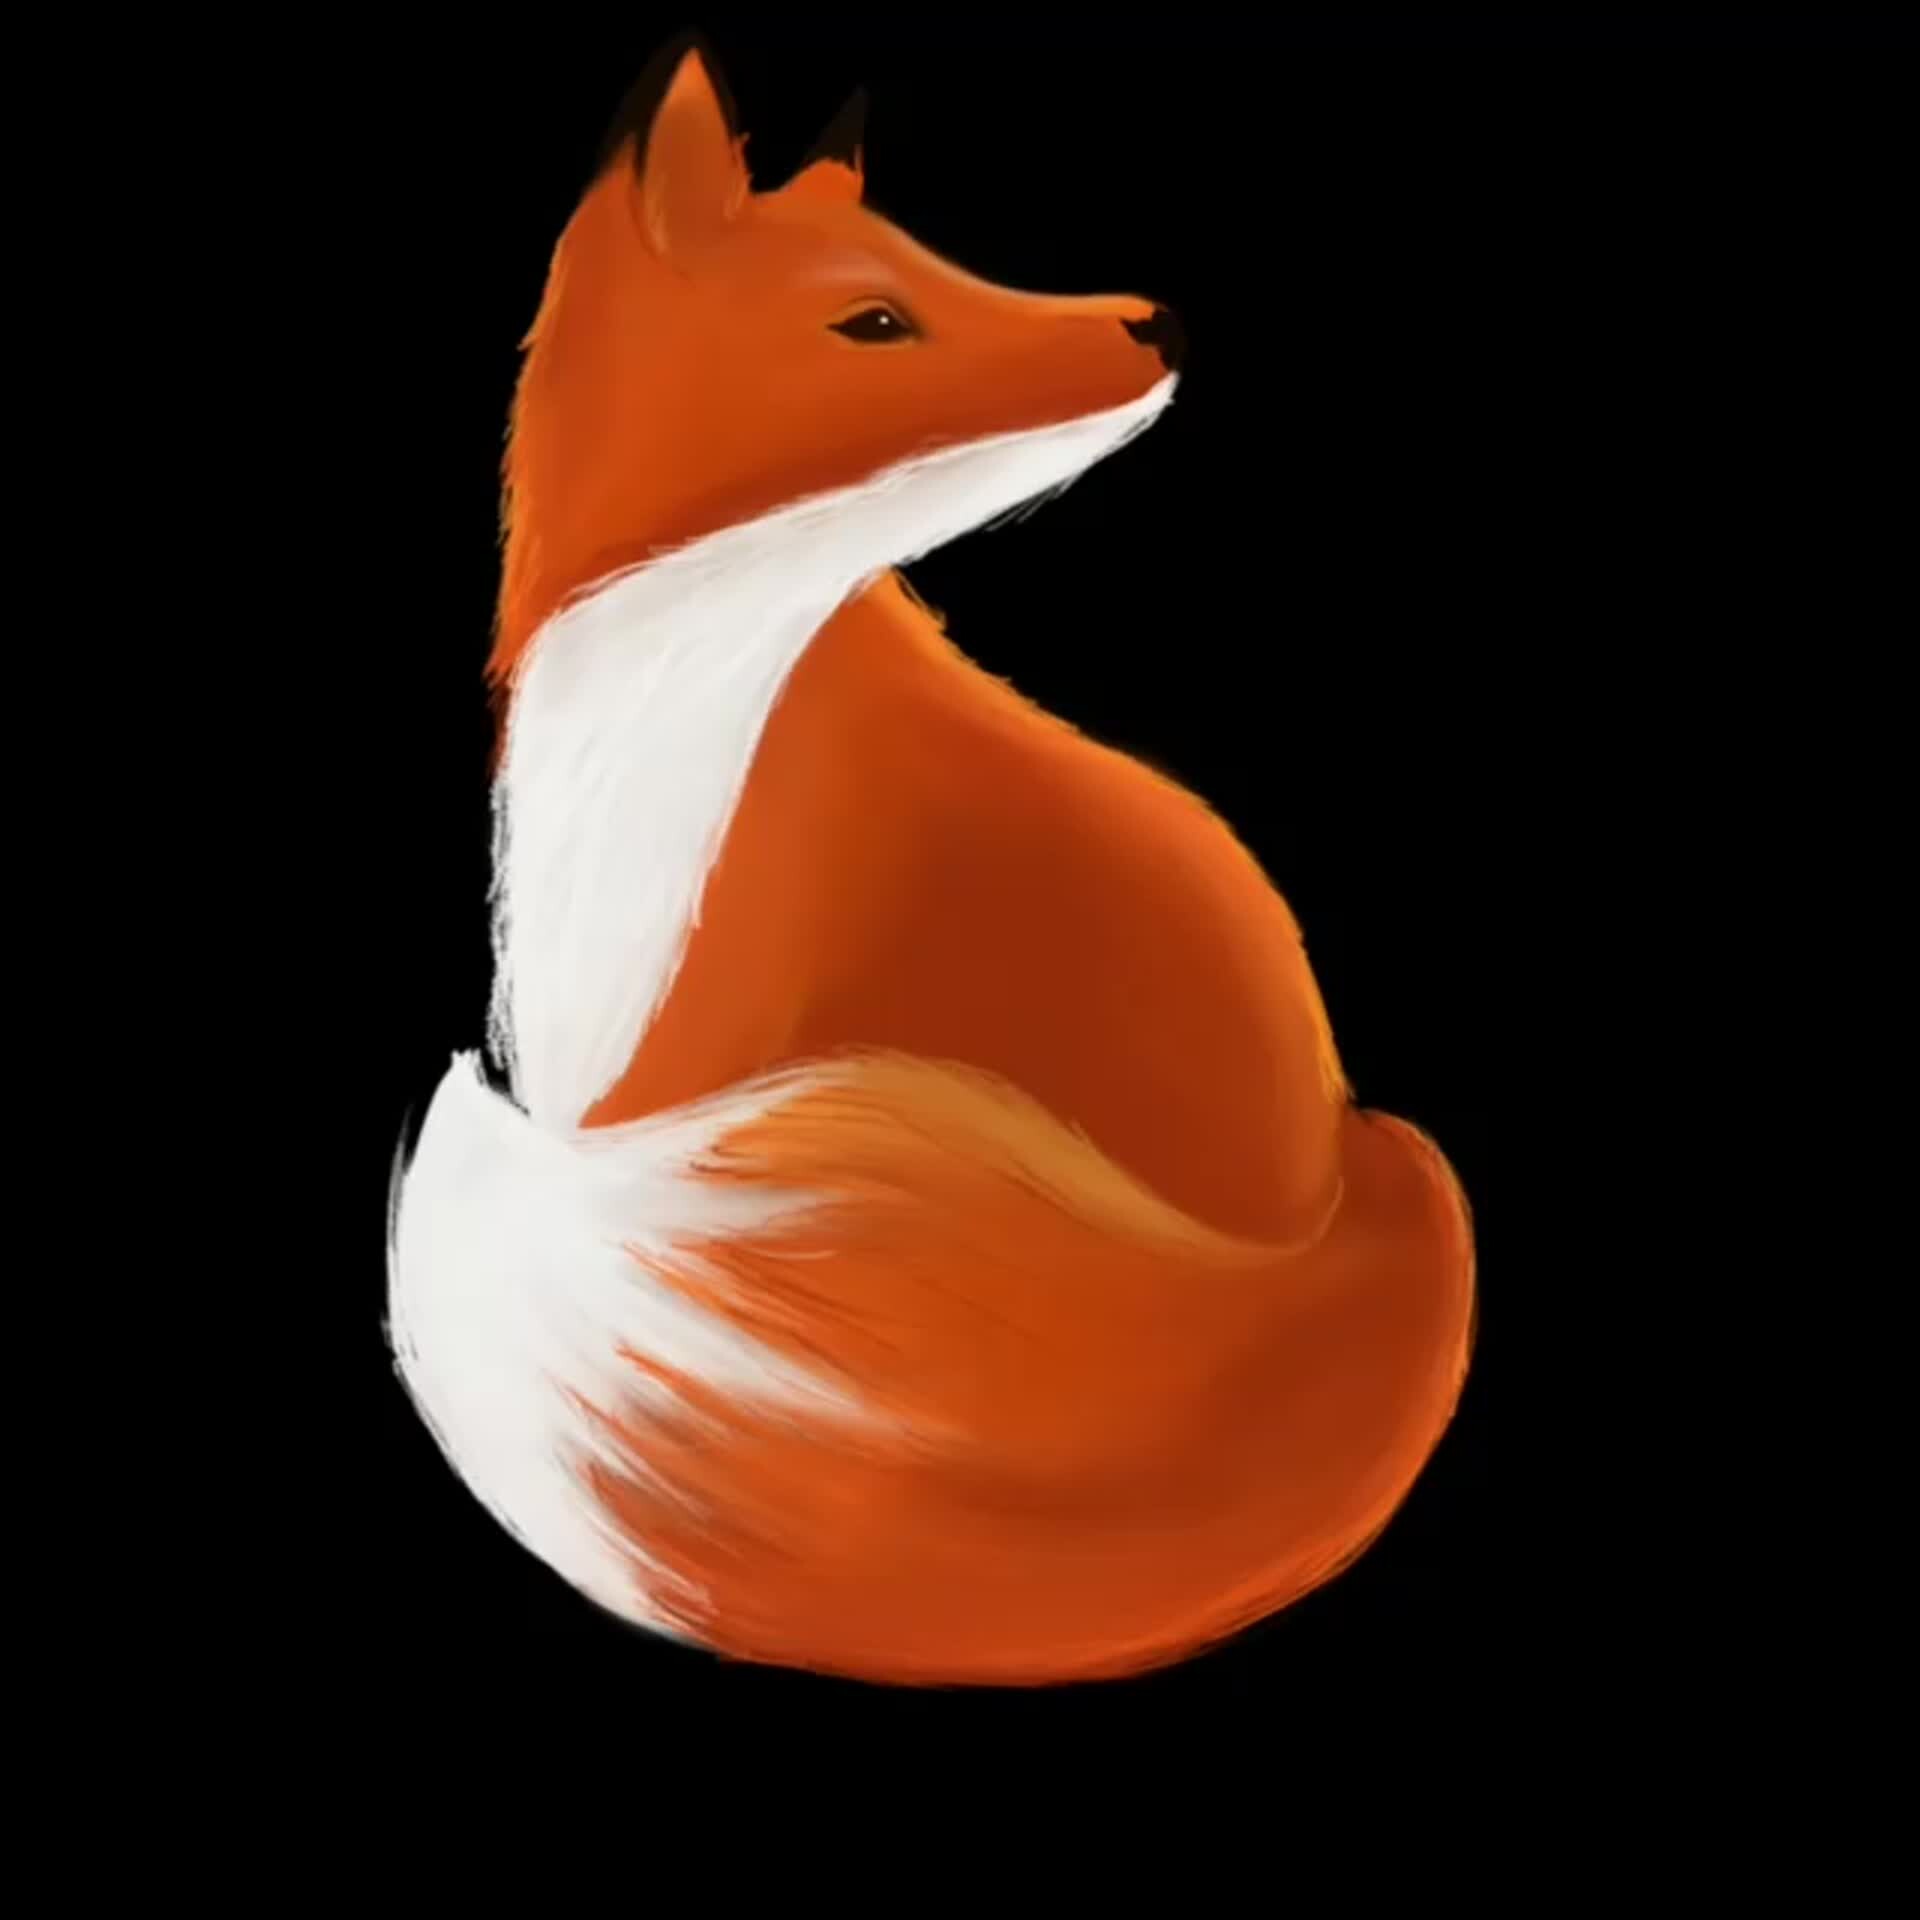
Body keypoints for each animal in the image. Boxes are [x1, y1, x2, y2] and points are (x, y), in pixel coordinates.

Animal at [387, 37, 1475, 1688]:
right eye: (879, 313)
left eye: (931, 262)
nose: (1151, 318)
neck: (680, 687)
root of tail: (1348, 1210)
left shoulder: (669, 1053)